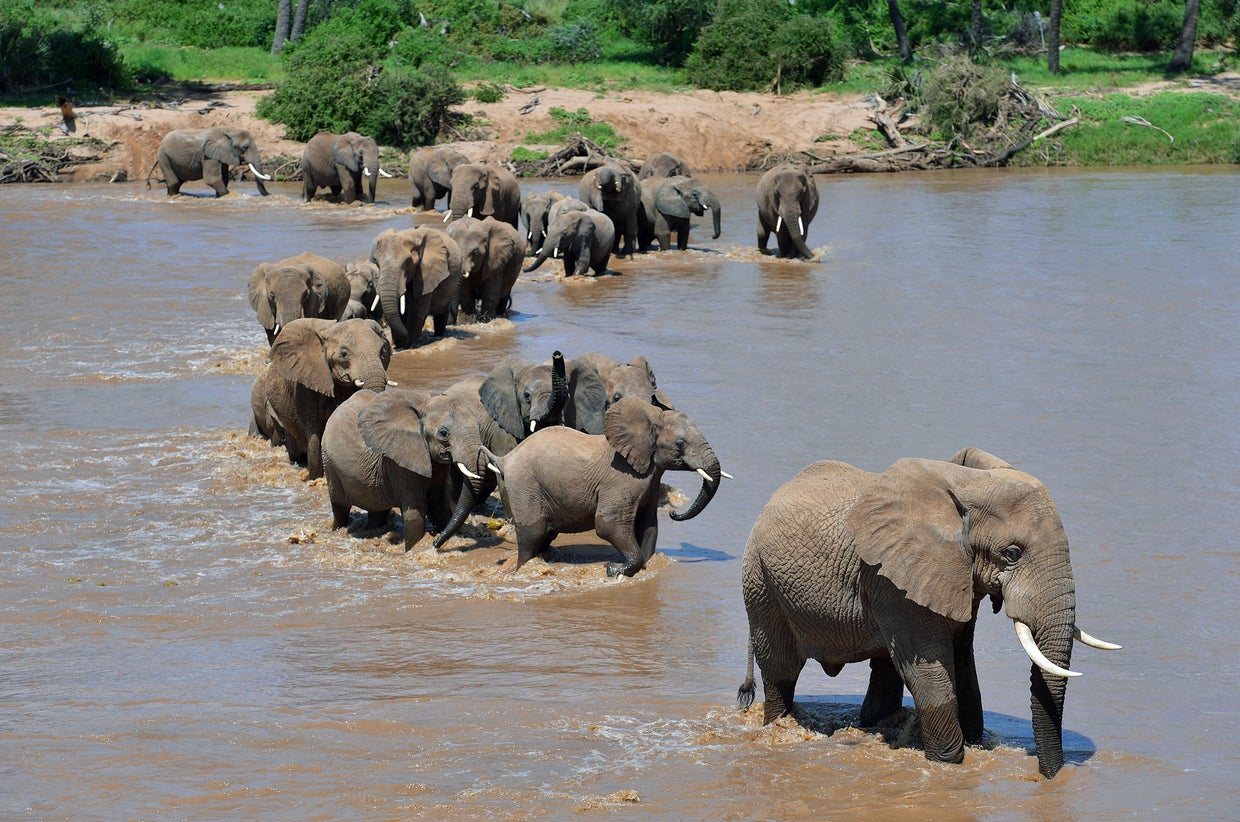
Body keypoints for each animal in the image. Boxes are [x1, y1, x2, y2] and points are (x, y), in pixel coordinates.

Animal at [322, 387, 460, 550]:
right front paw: (410, 551)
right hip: (329, 461)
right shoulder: (398, 464)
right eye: (443, 433)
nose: (435, 544)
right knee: (340, 507)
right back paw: (336, 529)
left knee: (377, 508)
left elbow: (438, 504)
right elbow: (415, 511)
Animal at [471, 397, 726, 577]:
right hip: (525, 484)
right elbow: (607, 525)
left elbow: (648, 526)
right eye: (680, 444)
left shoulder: (649, 481)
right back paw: (522, 570)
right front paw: (613, 569)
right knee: (532, 535)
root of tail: (506, 458)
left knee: (545, 534)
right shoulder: (621, 480)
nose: (674, 513)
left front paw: (640, 567)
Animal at [736, 448, 1121, 779]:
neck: (967, 485)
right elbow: (930, 669)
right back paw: (779, 725)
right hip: (761, 582)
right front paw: (947, 761)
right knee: (782, 669)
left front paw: (973, 739)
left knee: (884, 670)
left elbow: (963, 663)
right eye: (1012, 554)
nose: (1049, 778)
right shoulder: (891, 580)